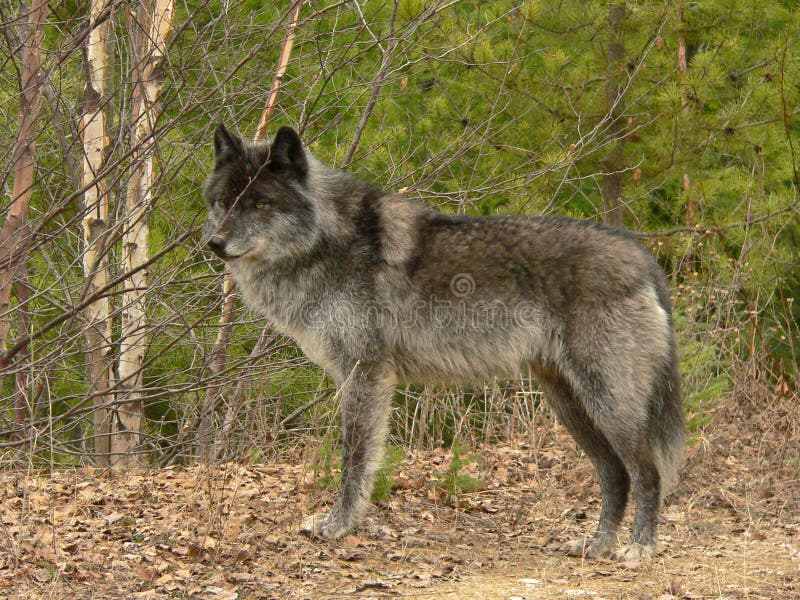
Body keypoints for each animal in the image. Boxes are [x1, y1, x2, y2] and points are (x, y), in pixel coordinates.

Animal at [202, 124, 685, 561]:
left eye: (260, 203)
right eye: (224, 202)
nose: (214, 243)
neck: (327, 240)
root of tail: (643, 257)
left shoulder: (365, 375)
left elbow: (354, 460)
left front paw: (339, 525)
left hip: (609, 404)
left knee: (647, 472)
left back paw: (640, 548)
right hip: (570, 406)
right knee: (615, 475)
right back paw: (598, 546)